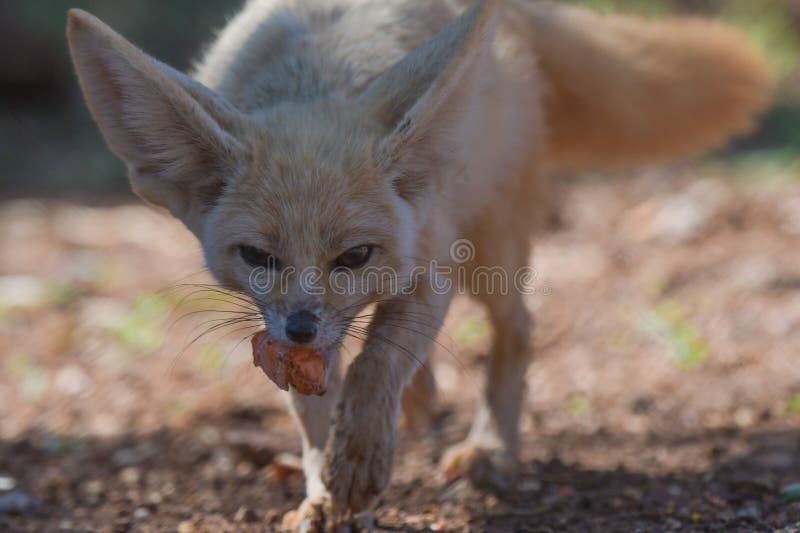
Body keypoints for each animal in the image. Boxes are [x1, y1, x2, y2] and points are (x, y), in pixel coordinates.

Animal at [66, 0, 771, 530]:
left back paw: (490, 450)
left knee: (517, 332)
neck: (318, 82)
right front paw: (322, 491)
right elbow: (318, 409)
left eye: (354, 254)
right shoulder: (300, 333)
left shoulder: (429, 267)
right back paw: (422, 403)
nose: (300, 328)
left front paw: (358, 464)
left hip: (490, 253)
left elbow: (377, 362)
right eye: (259, 257)